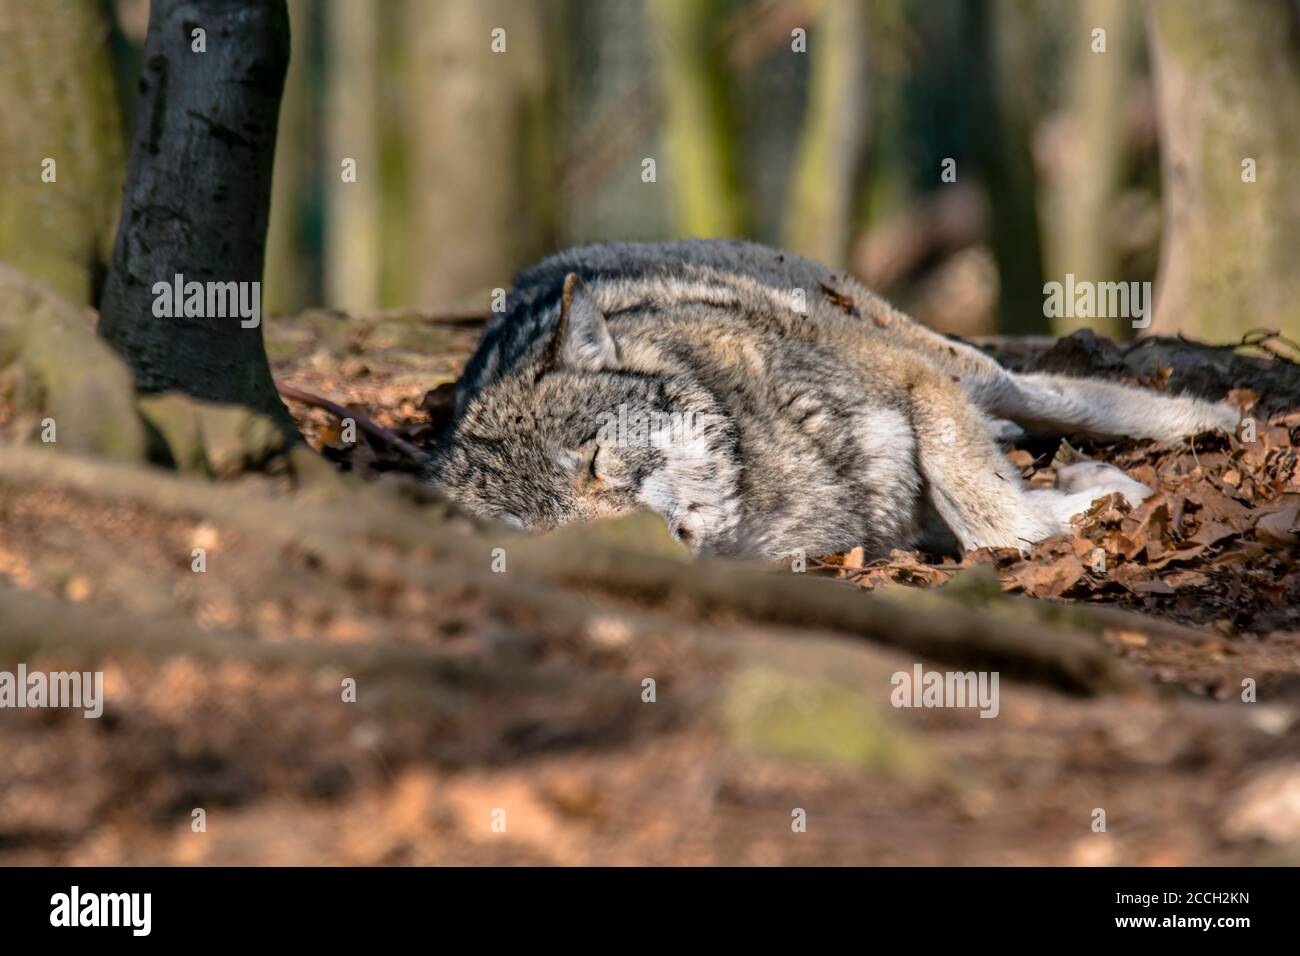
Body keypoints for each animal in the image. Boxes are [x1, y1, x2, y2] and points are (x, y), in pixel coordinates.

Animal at [423, 239, 1239, 559]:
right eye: (534, 532)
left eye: (594, 459)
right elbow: (994, 523)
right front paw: (1083, 491)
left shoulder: (916, 383)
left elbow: (995, 518)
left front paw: (1096, 494)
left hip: (948, 359)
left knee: (1061, 393)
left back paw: (1218, 419)